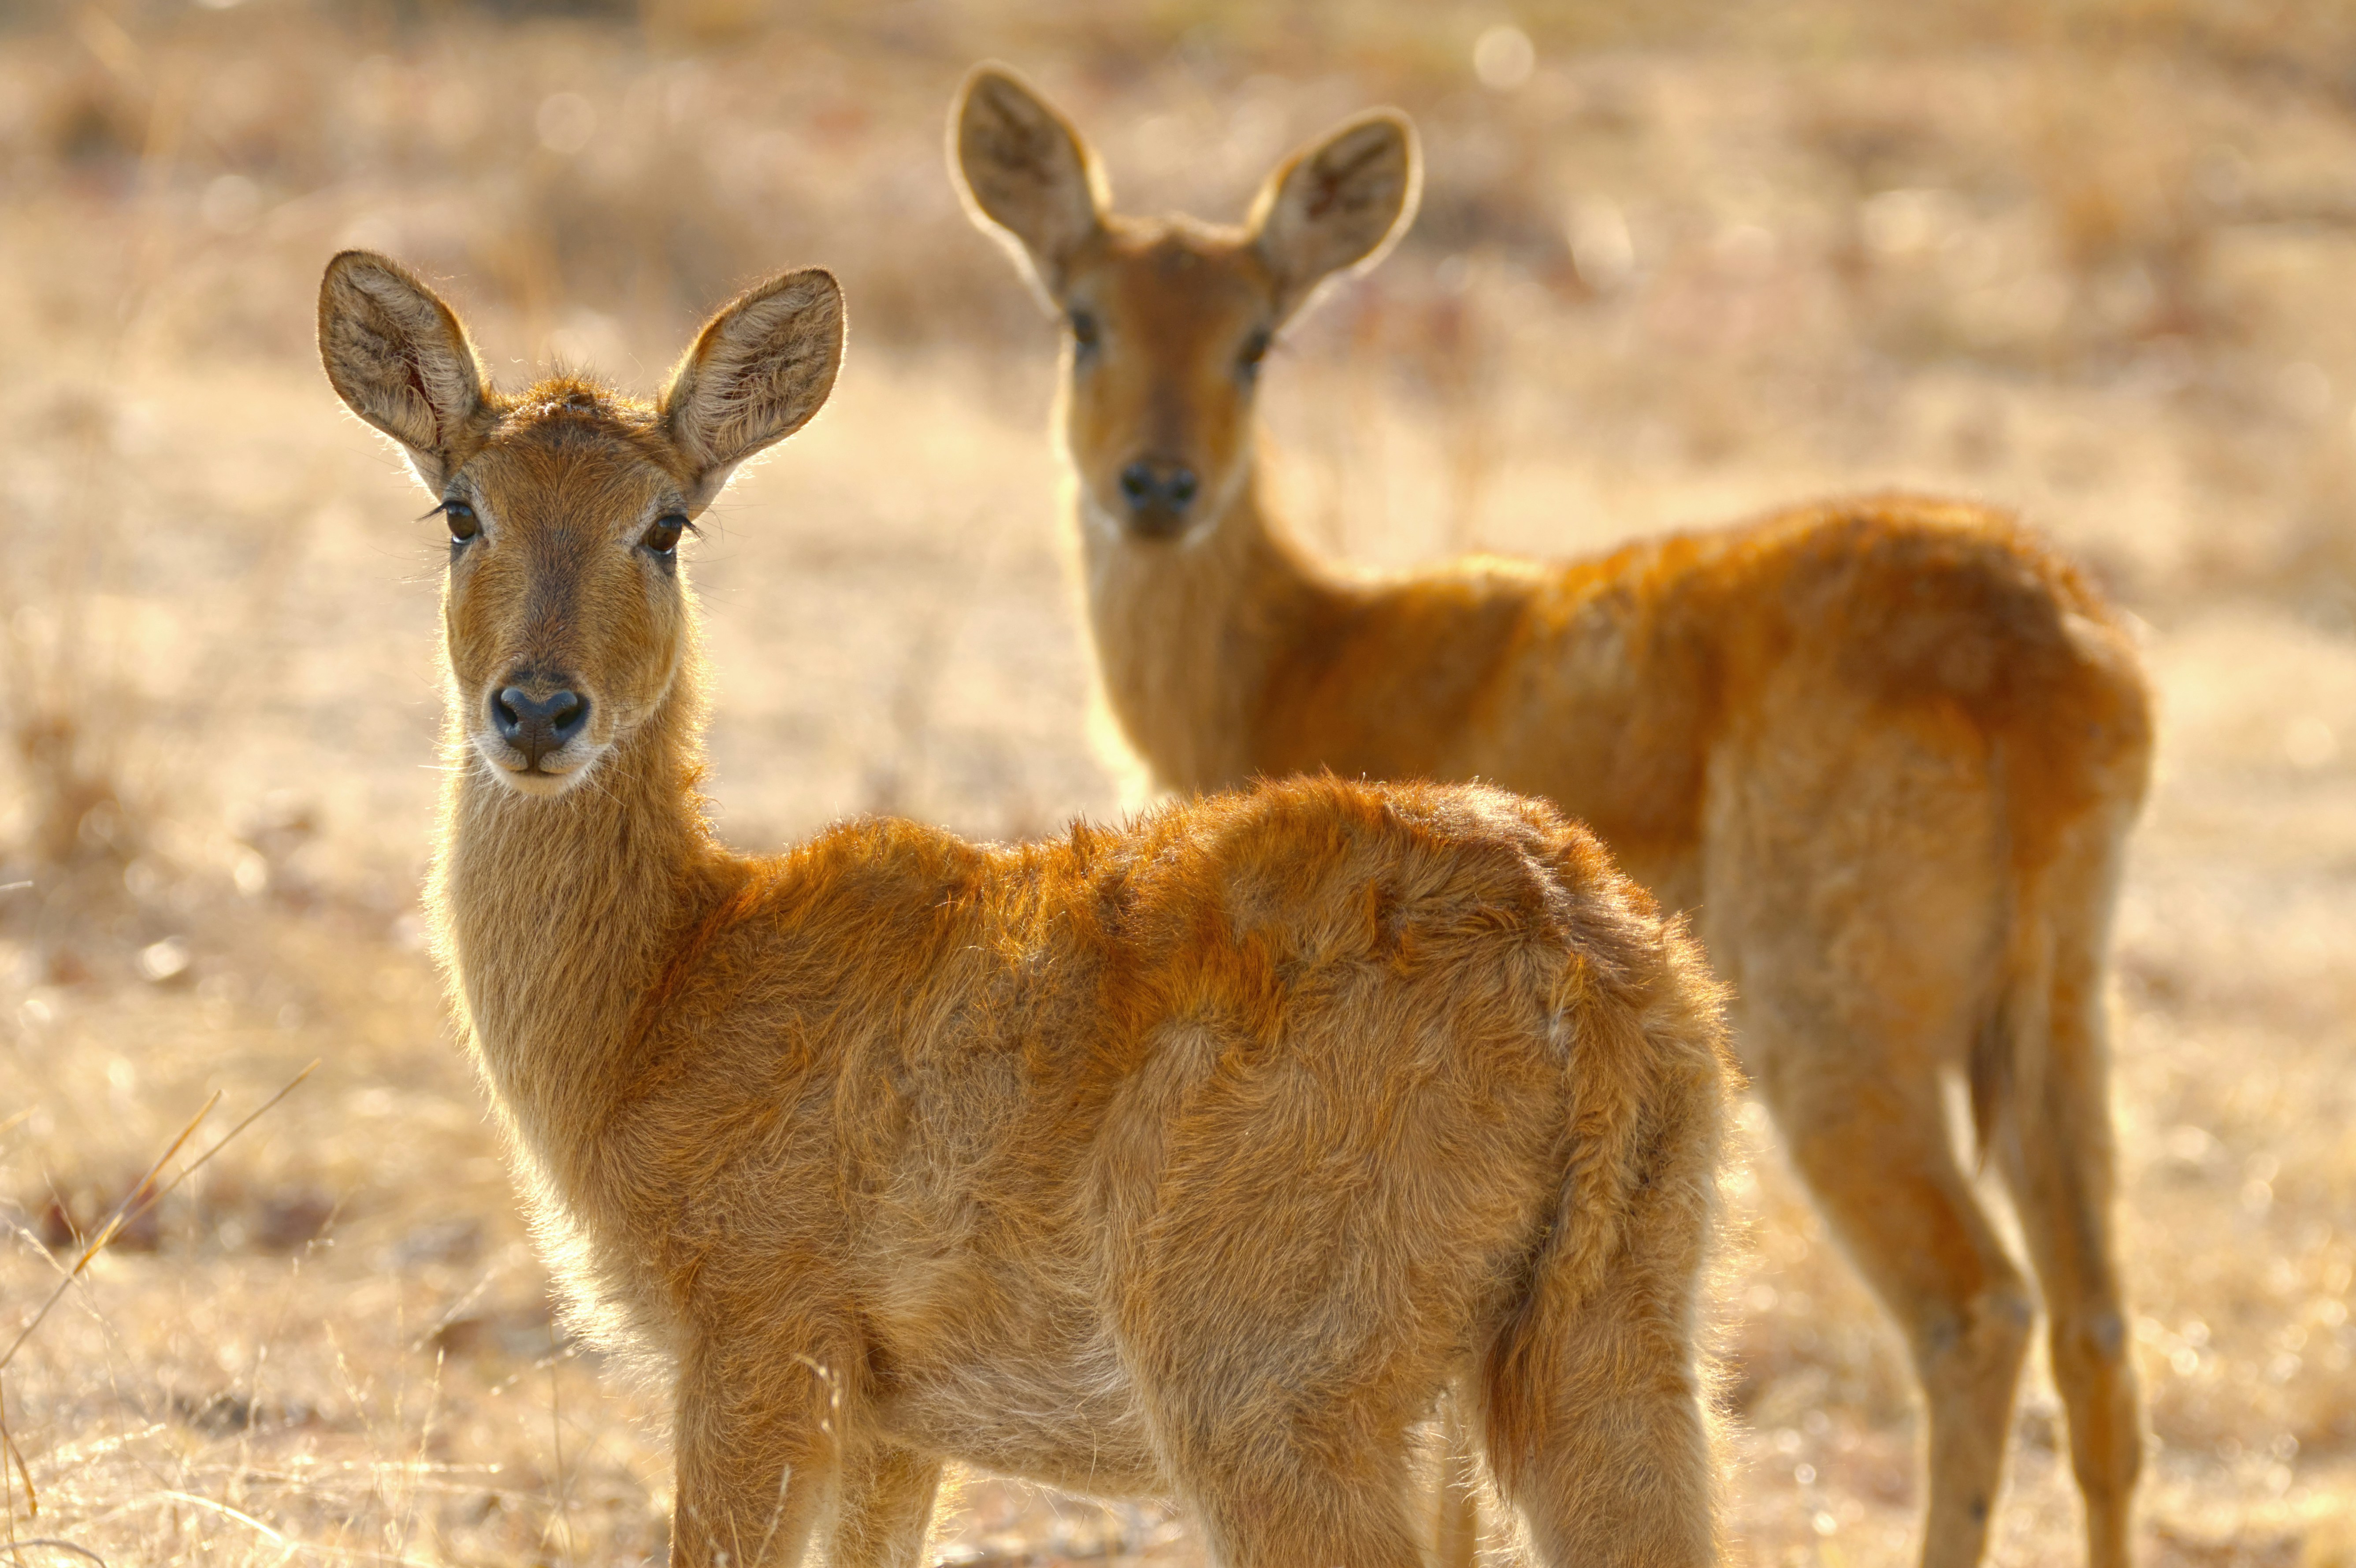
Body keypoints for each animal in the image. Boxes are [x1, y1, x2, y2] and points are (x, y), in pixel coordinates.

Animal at [316, 248, 1738, 1567]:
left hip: (1268, 1378)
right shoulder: (896, 1419)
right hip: (1612, 1338)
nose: (538, 709)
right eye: (462, 509)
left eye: (665, 525)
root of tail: (1581, 972)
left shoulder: (760, 1335)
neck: (662, 990)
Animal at [951, 64, 2156, 1568]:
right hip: (2059, 1017)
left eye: (1256, 339)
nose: (1158, 486)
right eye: (1085, 317)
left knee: (1976, 1307)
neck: (1300, 648)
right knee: (2099, 1328)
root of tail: (2047, 652)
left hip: (1842, 1040)